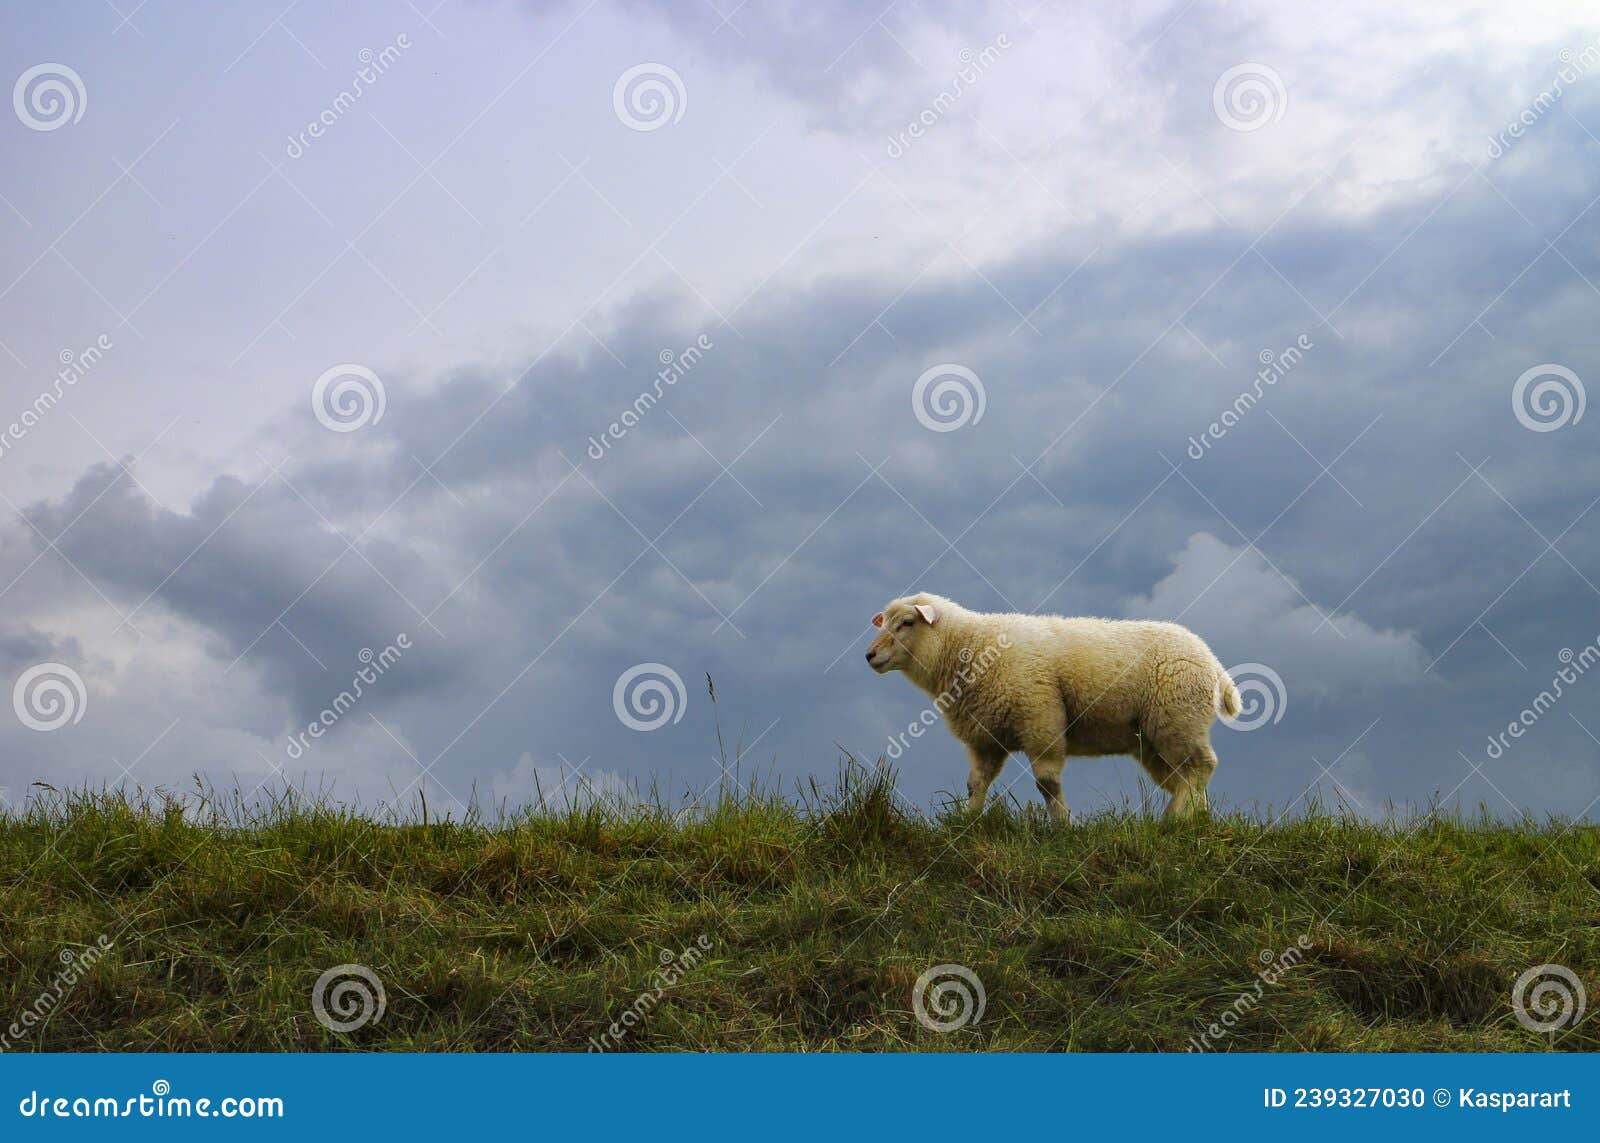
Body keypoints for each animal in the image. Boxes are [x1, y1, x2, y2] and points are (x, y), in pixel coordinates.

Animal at [865, 592, 1240, 822]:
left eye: (907, 623)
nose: (869, 655)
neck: (969, 646)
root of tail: (1214, 664)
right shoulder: (986, 739)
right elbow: (976, 783)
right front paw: (966, 822)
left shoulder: (1041, 721)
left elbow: (1047, 784)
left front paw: (1062, 826)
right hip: (1153, 739)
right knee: (1185, 778)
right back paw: (1193, 820)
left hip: (1178, 719)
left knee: (1202, 766)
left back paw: (1174, 818)